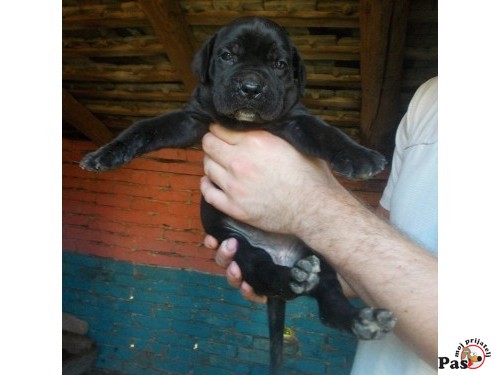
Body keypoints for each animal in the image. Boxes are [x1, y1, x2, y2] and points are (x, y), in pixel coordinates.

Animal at [80, 16, 396, 374]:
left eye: (279, 64)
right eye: (227, 56)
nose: (251, 87)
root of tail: (283, 257)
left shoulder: (296, 119)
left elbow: (325, 132)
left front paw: (359, 156)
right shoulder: (191, 118)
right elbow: (145, 127)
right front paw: (106, 154)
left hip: (319, 254)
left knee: (326, 298)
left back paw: (357, 317)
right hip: (239, 247)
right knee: (267, 273)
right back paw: (298, 279)